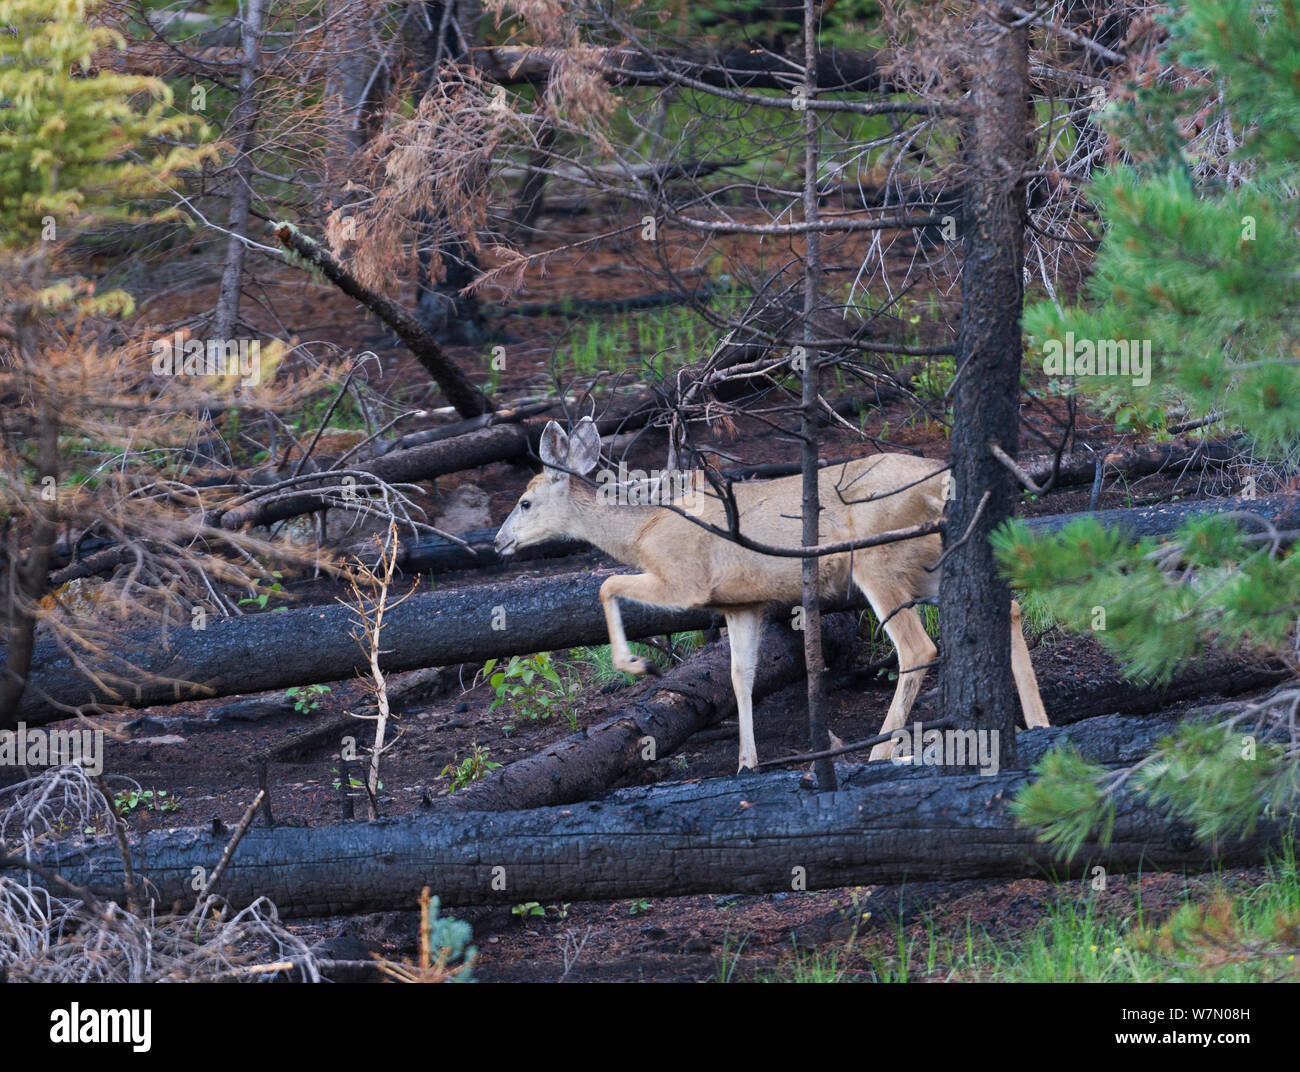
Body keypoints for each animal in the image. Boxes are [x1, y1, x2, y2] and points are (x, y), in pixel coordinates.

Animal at [494, 417, 1050, 772]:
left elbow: (606, 583)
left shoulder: (685, 580)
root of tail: (945, 486)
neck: (642, 531)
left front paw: (638, 664)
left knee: (918, 648)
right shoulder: (740, 602)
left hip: (880, 560)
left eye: (524, 502)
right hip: (930, 561)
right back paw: (1039, 725)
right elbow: (740, 677)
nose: (498, 542)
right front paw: (747, 763)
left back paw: (880, 754)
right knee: (1010, 606)